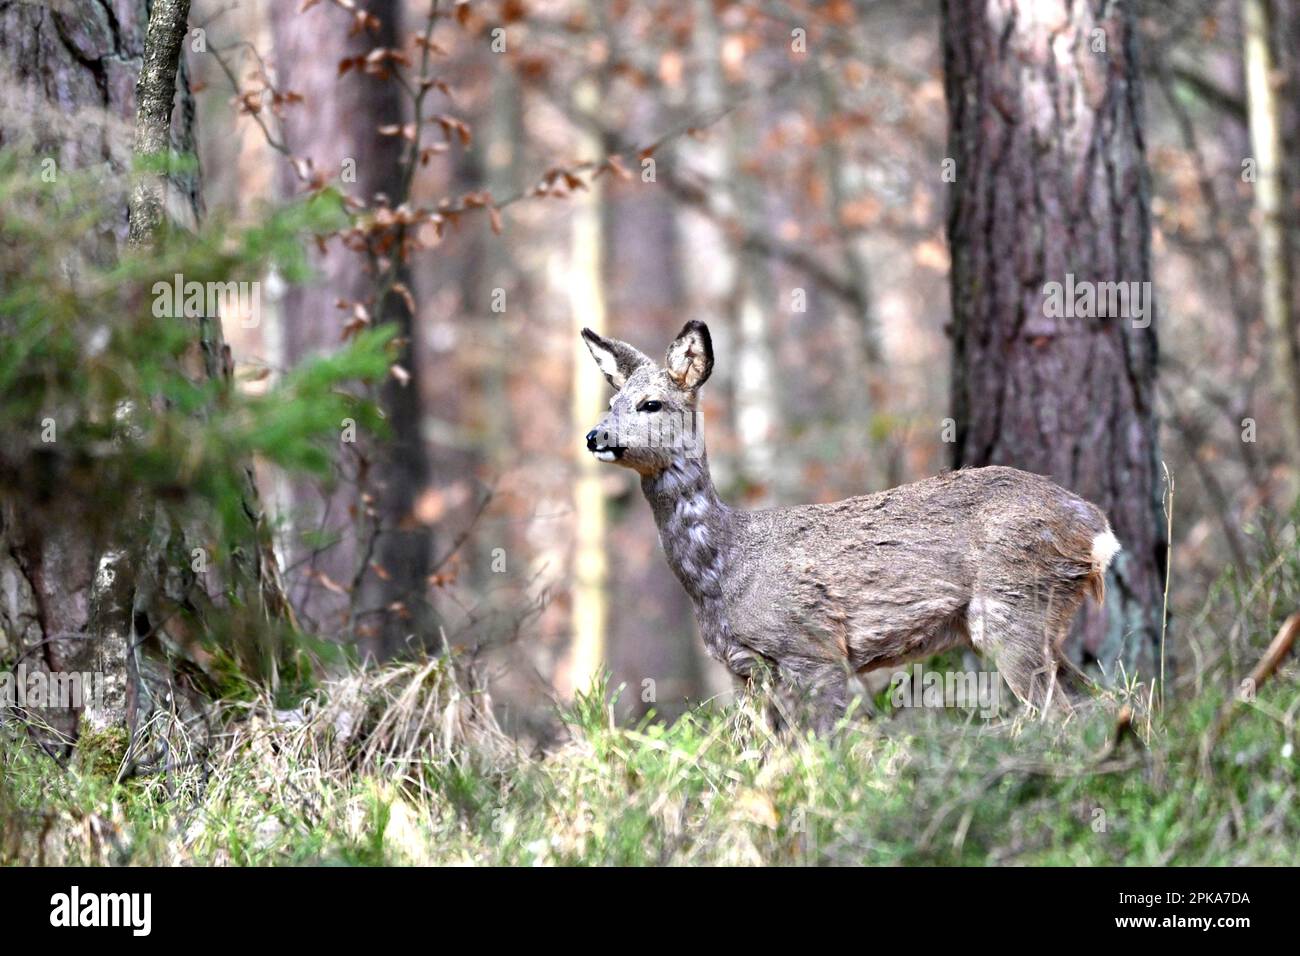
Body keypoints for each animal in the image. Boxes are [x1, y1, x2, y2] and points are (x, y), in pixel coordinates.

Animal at [581, 321, 1121, 732]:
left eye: (651, 404)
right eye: (611, 404)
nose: (594, 435)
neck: (724, 569)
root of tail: (1096, 527)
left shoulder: (811, 647)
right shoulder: (745, 671)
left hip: (1014, 606)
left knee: (1060, 714)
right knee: (1099, 701)